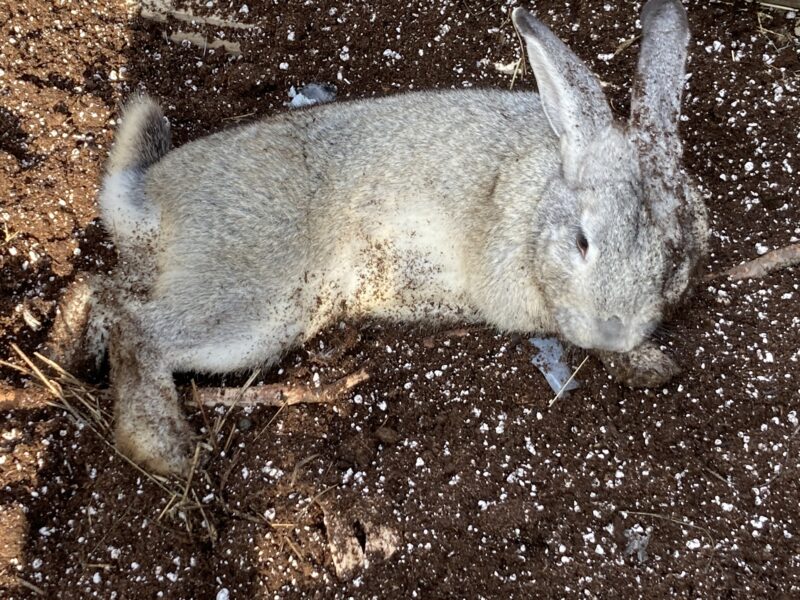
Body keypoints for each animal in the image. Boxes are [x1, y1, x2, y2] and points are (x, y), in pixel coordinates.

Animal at [53, 0, 707, 475]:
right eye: (582, 242)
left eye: (676, 256)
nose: (615, 328)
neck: (540, 197)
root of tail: (154, 197)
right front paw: (646, 363)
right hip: (251, 304)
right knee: (140, 329)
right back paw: (164, 450)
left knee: (102, 289)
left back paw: (70, 354)